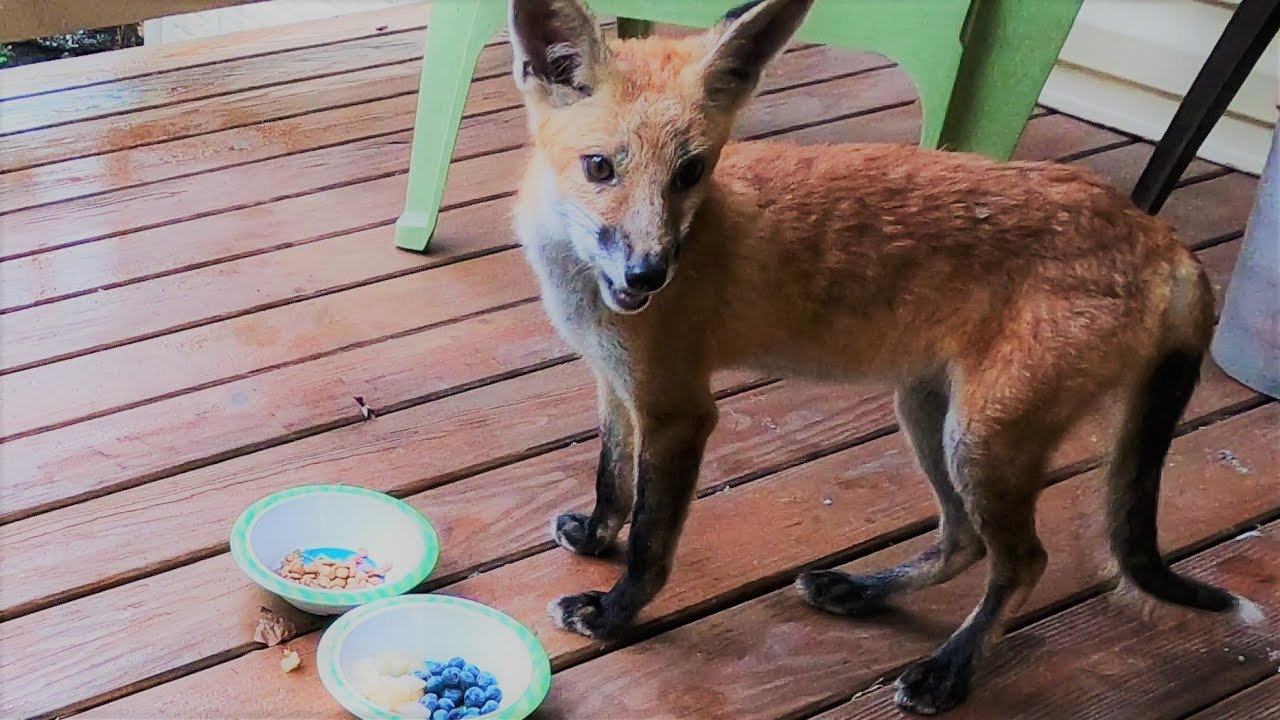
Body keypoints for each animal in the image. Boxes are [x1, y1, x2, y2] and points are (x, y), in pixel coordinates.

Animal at [505, 0, 1263, 713]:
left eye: (690, 172)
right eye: (600, 167)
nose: (648, 275)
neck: (578, 278)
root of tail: (1157, 232)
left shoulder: (679, 411)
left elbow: (650, 542)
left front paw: (613, 613)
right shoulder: (617, 385)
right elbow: (612, 480)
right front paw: (594, 536)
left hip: (980, 440)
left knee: (1024, 561)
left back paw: (949, 669)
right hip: (929, 412)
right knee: (964, 541)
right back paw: (865, 591)